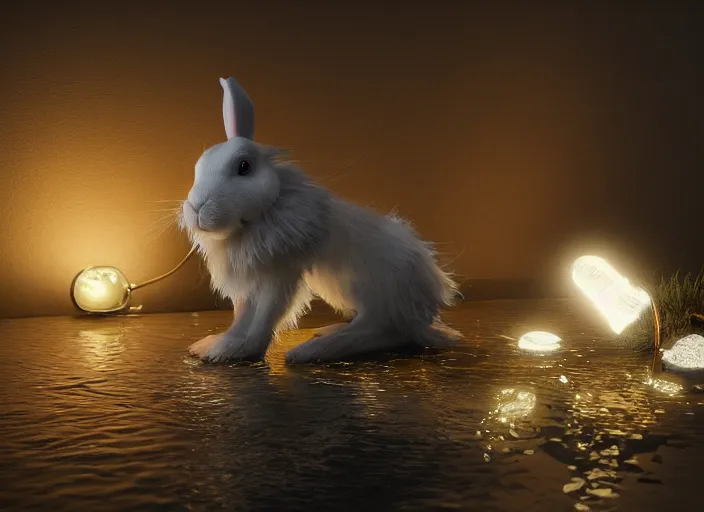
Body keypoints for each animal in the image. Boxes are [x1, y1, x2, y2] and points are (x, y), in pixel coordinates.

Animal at [180, 76, 463, 365]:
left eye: (244, 167)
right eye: (198, 167)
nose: (197, 209)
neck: (260, 218)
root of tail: (424, 307)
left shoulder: (278, 275)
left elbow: (265, 317)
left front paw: (239, 350)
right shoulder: (248, 282)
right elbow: (243, 316)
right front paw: (217, 345)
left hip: (370, 289)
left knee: (381, 331)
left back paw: (314, 349)